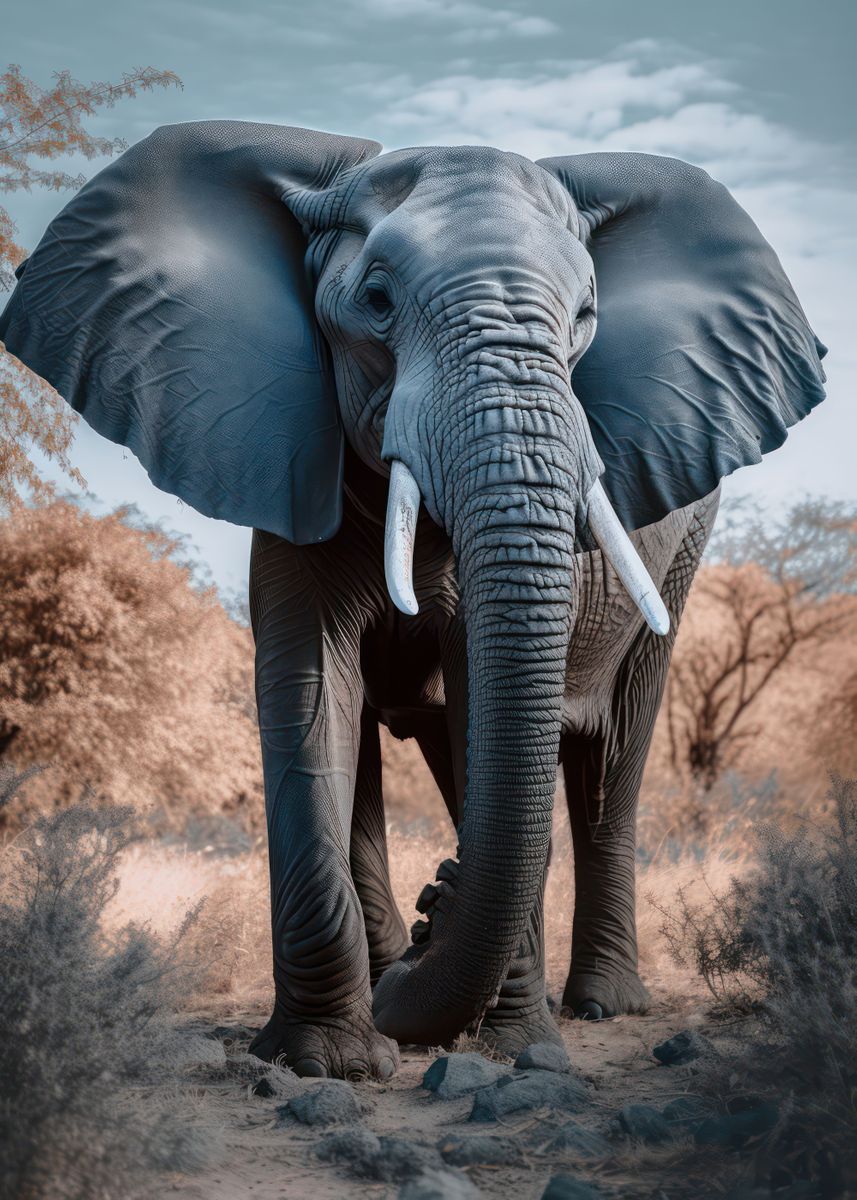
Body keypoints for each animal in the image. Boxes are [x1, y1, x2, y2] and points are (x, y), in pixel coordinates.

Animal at [0, 120, 826, 1080]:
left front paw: (516, 1049)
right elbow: (313, 697)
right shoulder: (291, 453)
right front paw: (329, 1059)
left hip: (685, 554)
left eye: (585, 317)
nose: (438, 898)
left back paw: (597, 1005)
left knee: (609, 759)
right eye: (377, 301)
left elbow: (479, 701)